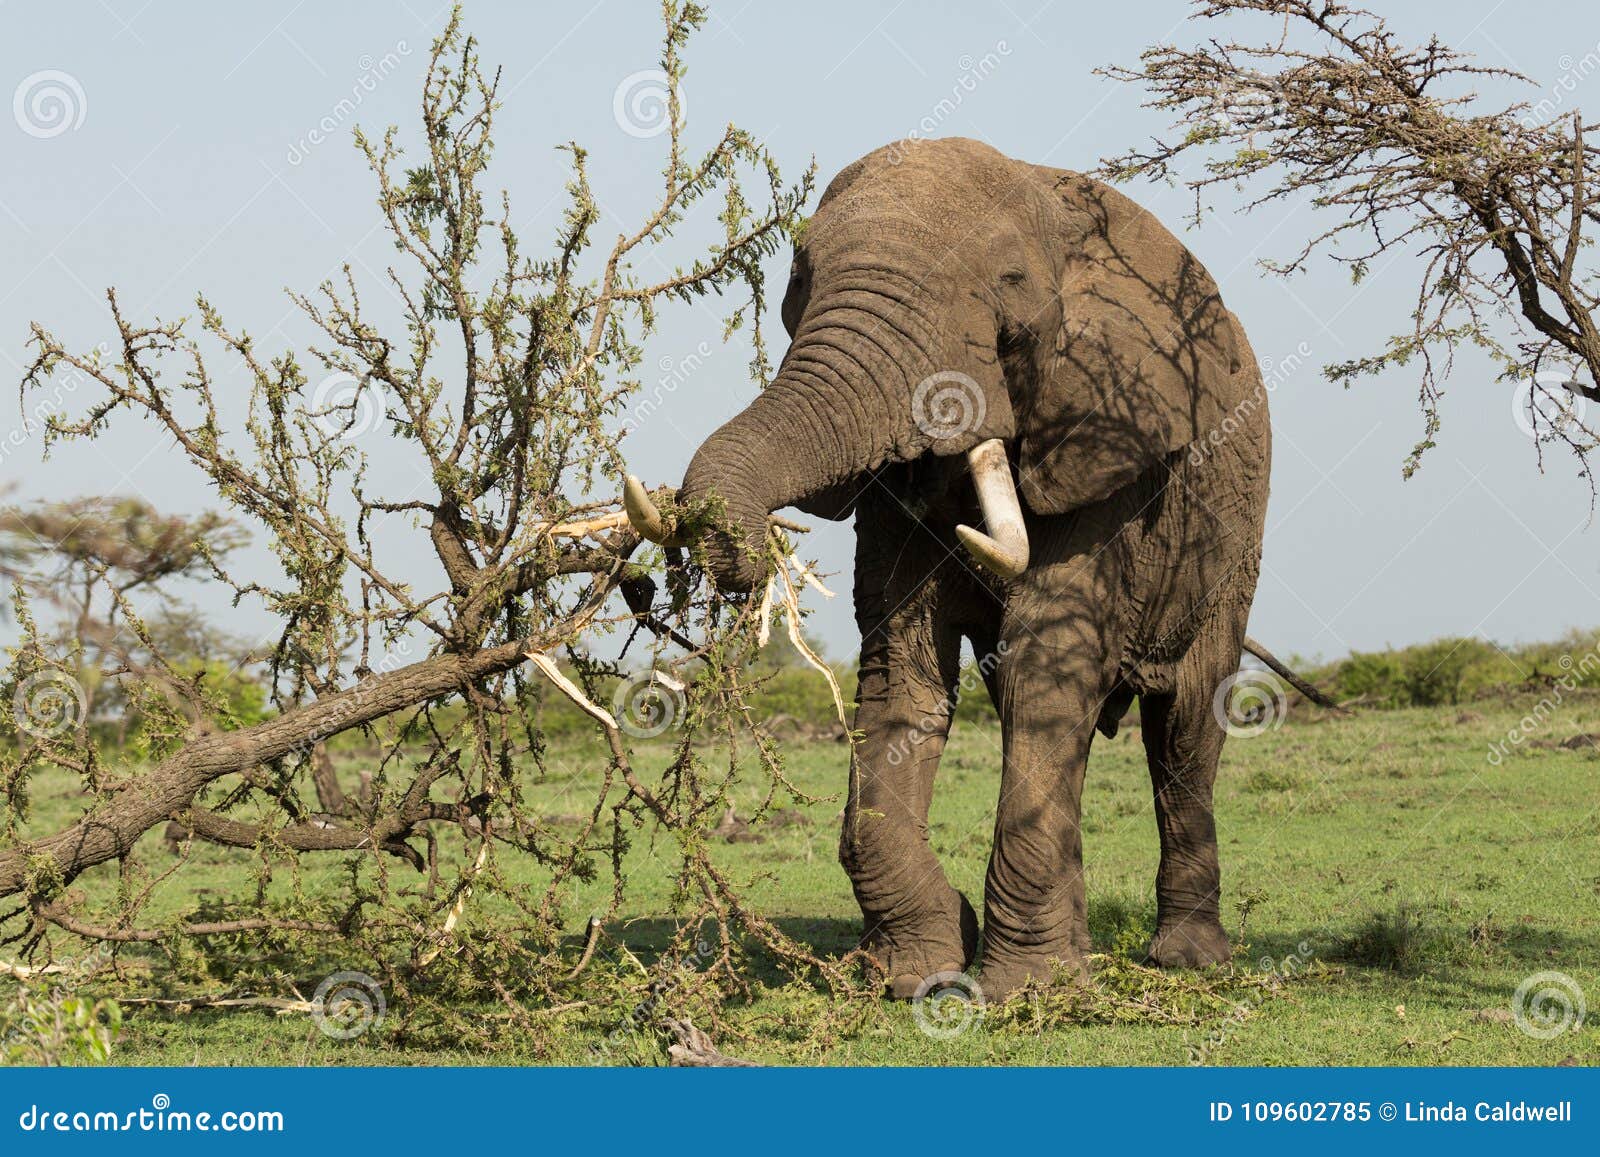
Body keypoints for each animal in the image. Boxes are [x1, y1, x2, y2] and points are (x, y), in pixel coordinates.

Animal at [623, 137, 1270, 1000]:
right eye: (799, 279)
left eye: (1010, 285)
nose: (745, 557)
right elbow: (901, 675)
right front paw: (919, 972)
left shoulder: (1108, 442)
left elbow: (1048, 664)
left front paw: (1030, 989)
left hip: (1237, 535)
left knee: (1187, 725)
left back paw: (1190, 958)